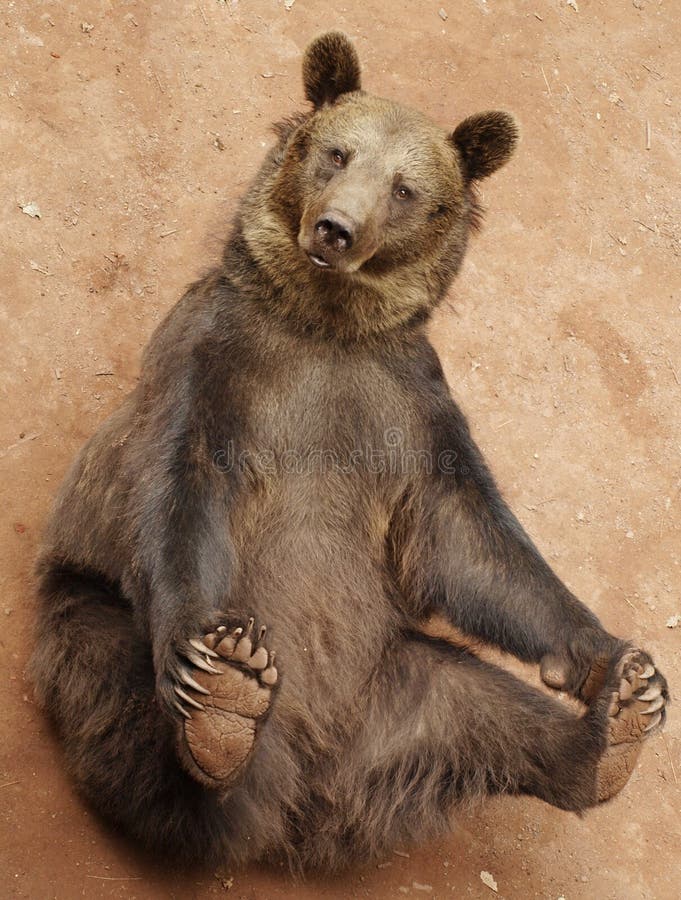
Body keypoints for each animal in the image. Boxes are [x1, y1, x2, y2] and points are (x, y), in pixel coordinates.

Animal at [31, 32, 668, 873]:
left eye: (405, 188)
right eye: (335, 152)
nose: (335, 228)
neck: (325, 325)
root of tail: (302, 794)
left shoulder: (406, 405)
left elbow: (472, 544)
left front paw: (619, 666)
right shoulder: (219, 368)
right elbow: (180, 488)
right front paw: (219, 660)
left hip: (395, 686)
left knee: (478, 705)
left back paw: (606, 740)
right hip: (83, 607)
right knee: (117, 685)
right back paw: (225, 717)